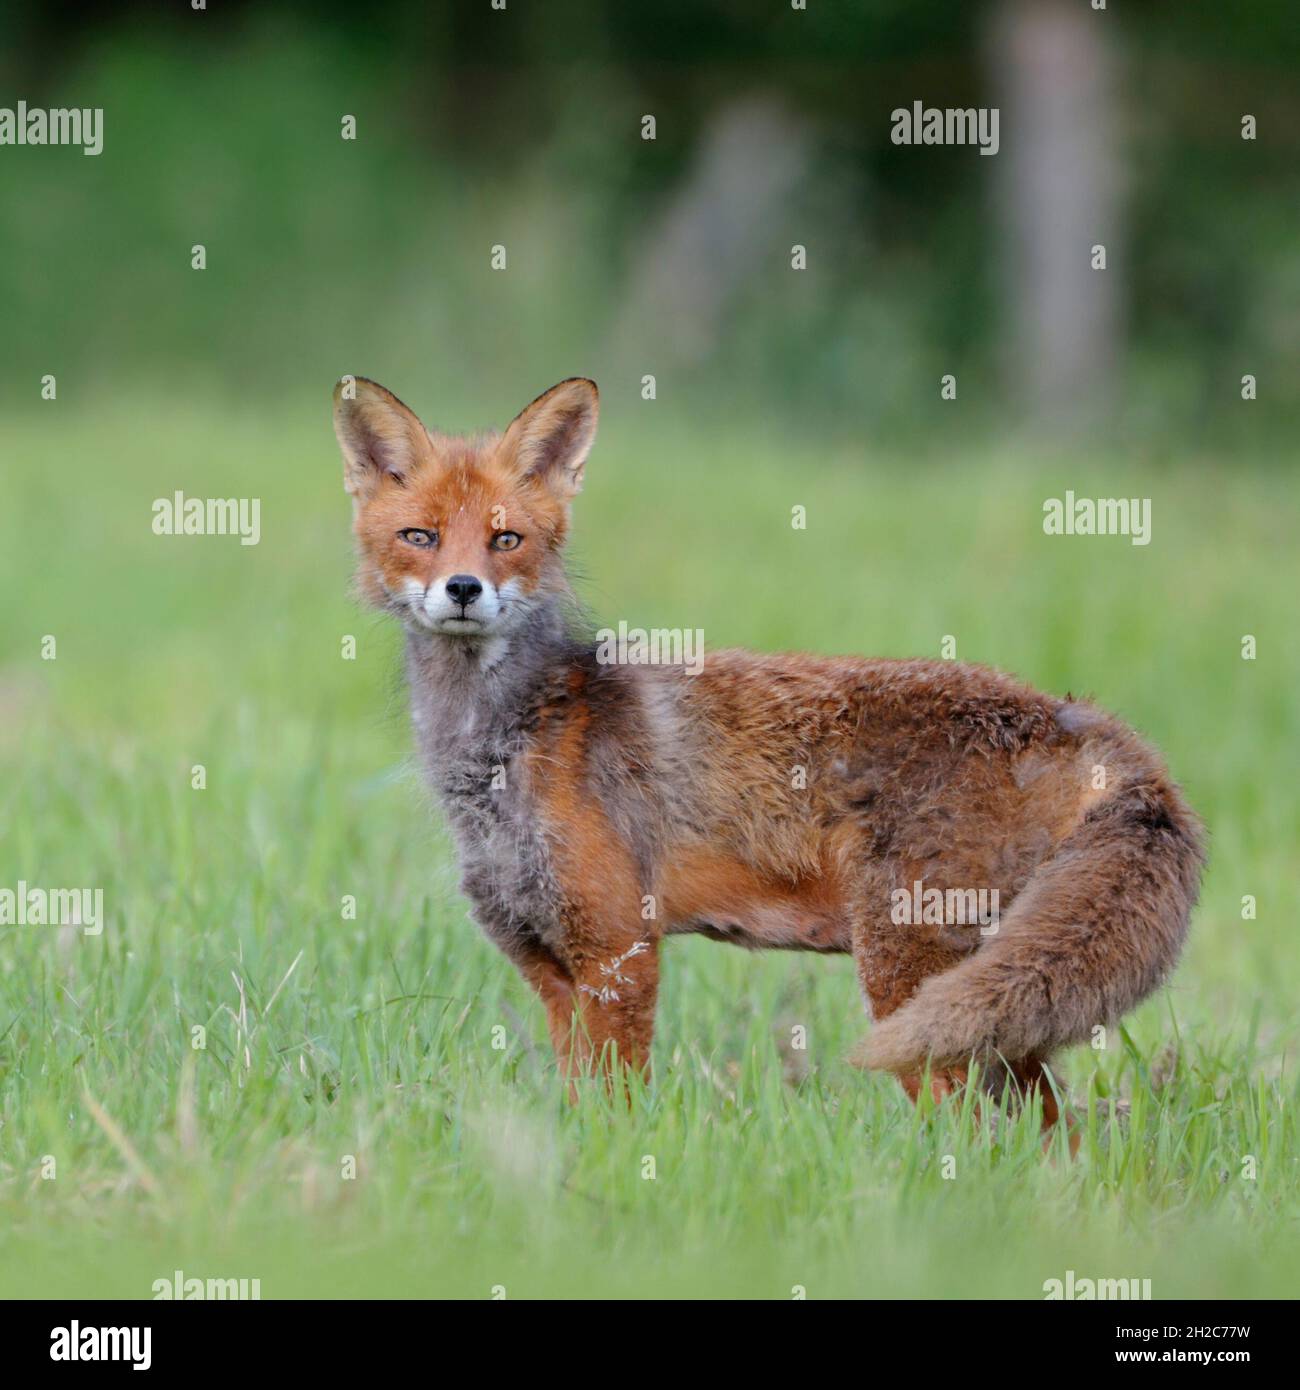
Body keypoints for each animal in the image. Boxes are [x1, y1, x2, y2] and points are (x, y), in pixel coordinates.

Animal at [333, 374, 1204, 1131]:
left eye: (505, 539)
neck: (505, 747)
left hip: (911, 991)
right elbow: (579, 1106)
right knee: (1059, 1141)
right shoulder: (549, 968)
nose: (464, 589)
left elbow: (618, 1110)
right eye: (421, 538)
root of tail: (1078, 717)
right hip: (995, 1007)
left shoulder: (619, 952)